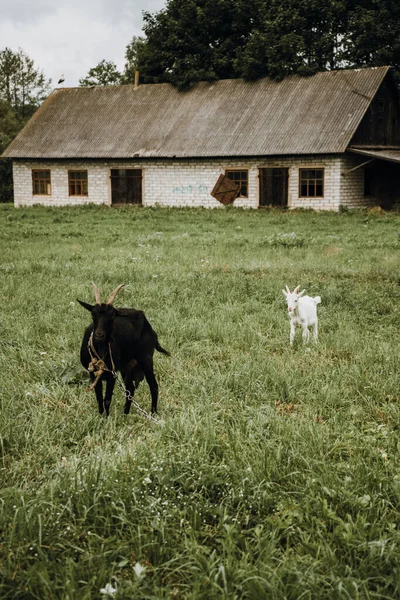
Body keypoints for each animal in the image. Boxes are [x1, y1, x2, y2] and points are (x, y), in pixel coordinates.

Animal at [78, 282, 170, 414]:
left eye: (112, 316)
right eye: (93, 314)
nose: (99, 335)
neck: (100, 351)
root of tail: (150, 328)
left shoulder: (112, 374)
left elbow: (107, 399)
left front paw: (106, 417)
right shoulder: (93, 373)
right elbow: (99, 398)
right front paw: (100, 415)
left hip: (146, 359)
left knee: (153, 386)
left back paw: (153, 412)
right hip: (127, 365)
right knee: (130, 388)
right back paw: (125, 413)